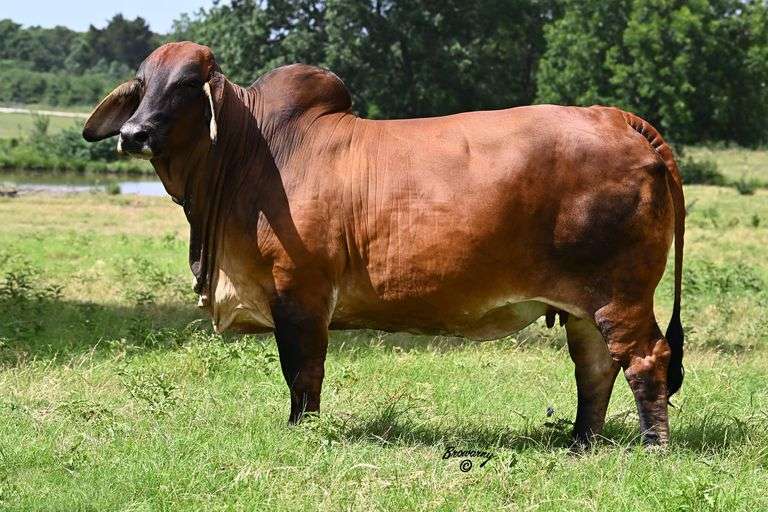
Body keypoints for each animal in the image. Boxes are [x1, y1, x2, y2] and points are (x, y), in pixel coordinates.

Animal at [83, 42, 685, 447]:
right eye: (142, 84)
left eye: (187, 84)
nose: (132, 134)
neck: (250, 151)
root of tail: (618, 118)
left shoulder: (299, 294)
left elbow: (302, 371)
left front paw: (302, 431)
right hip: (584, 305)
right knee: (595, 367)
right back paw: (581, 442)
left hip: (620, 294)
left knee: (645, 358)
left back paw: (652, 446)